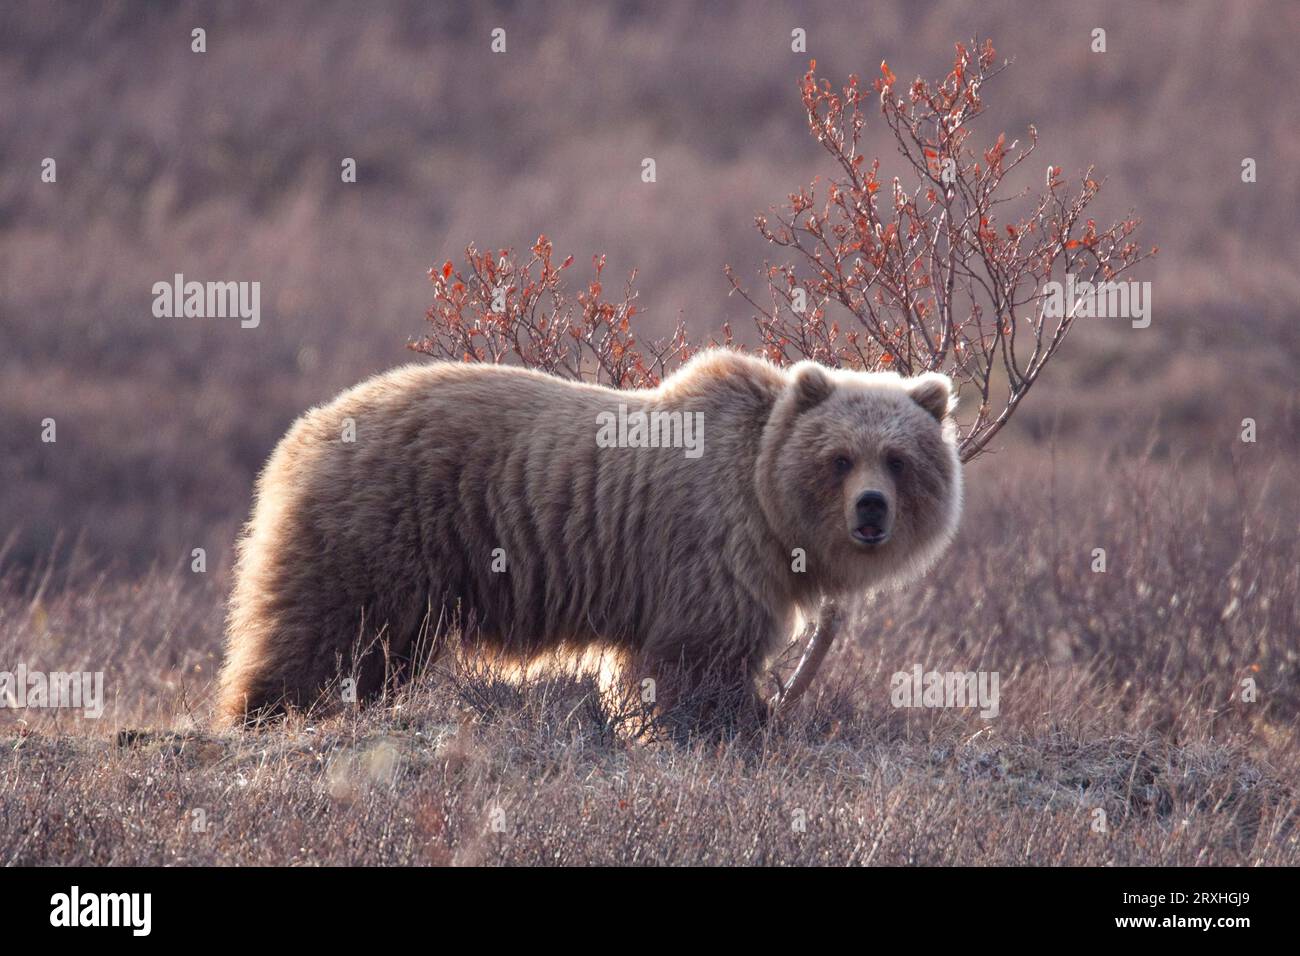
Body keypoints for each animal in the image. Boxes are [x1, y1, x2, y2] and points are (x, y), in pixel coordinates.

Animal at [216, 349, 962, 736]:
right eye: (840, 457)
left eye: (898, 458)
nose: (870, 509)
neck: (767, 507)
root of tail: (303, 430)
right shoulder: (709, 555)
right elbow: (697, 663)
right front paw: (725, 729)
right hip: (380, 528)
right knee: (323, 635)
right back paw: (266, 714)